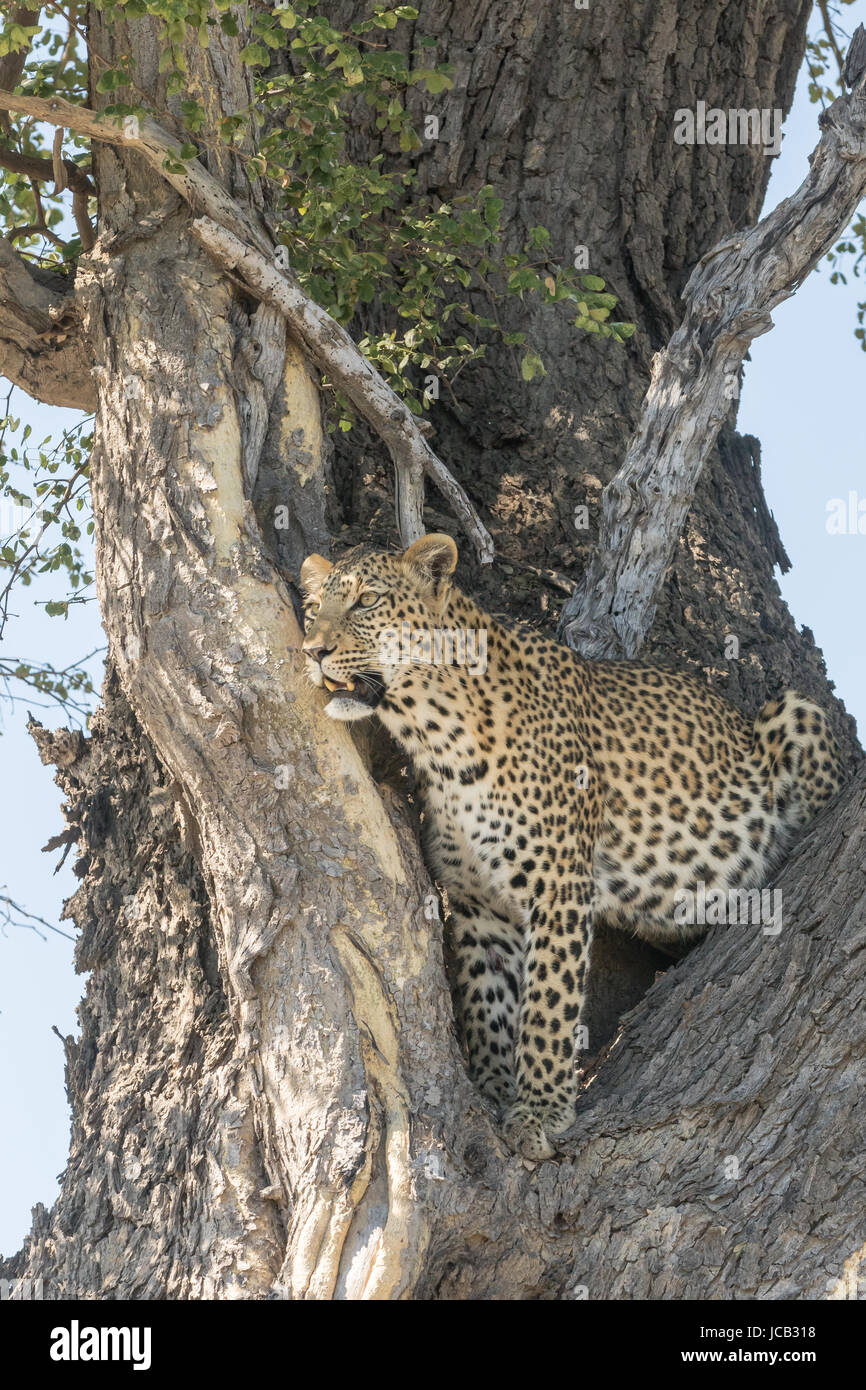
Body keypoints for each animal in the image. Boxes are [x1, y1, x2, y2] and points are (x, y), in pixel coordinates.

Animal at [300, 533, 846, 1161]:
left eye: (367, 602)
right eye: (314, 609)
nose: (312, 650)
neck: (437, 740)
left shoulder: (559, 887)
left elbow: (547, 1006)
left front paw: (539, 1111)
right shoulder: (478, 904)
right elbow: (488, 1002)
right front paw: (493, 1087)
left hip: (794, 712)